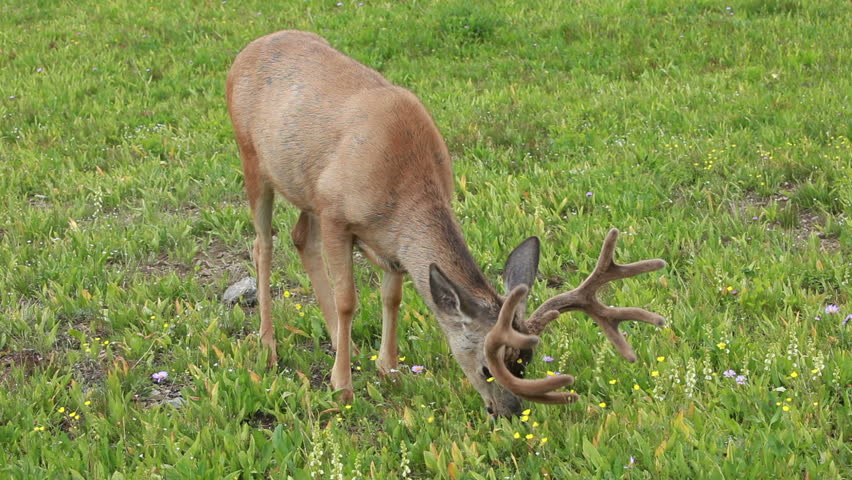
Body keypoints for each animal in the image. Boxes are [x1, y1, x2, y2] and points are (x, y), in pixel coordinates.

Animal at [225, 30, 667, 416]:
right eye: (488, 369)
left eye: (525, 363)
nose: (509, 413)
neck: (403, 182)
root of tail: (248, 49)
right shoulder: (336, 212)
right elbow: (348, 299)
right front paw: (343, 387)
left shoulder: (387, 239)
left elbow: (392, 297)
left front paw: (389, 370)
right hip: (253, 159)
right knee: (264, 244)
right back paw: (269, 346)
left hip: (304, 188)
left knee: (300, 238)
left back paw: (336, 343)